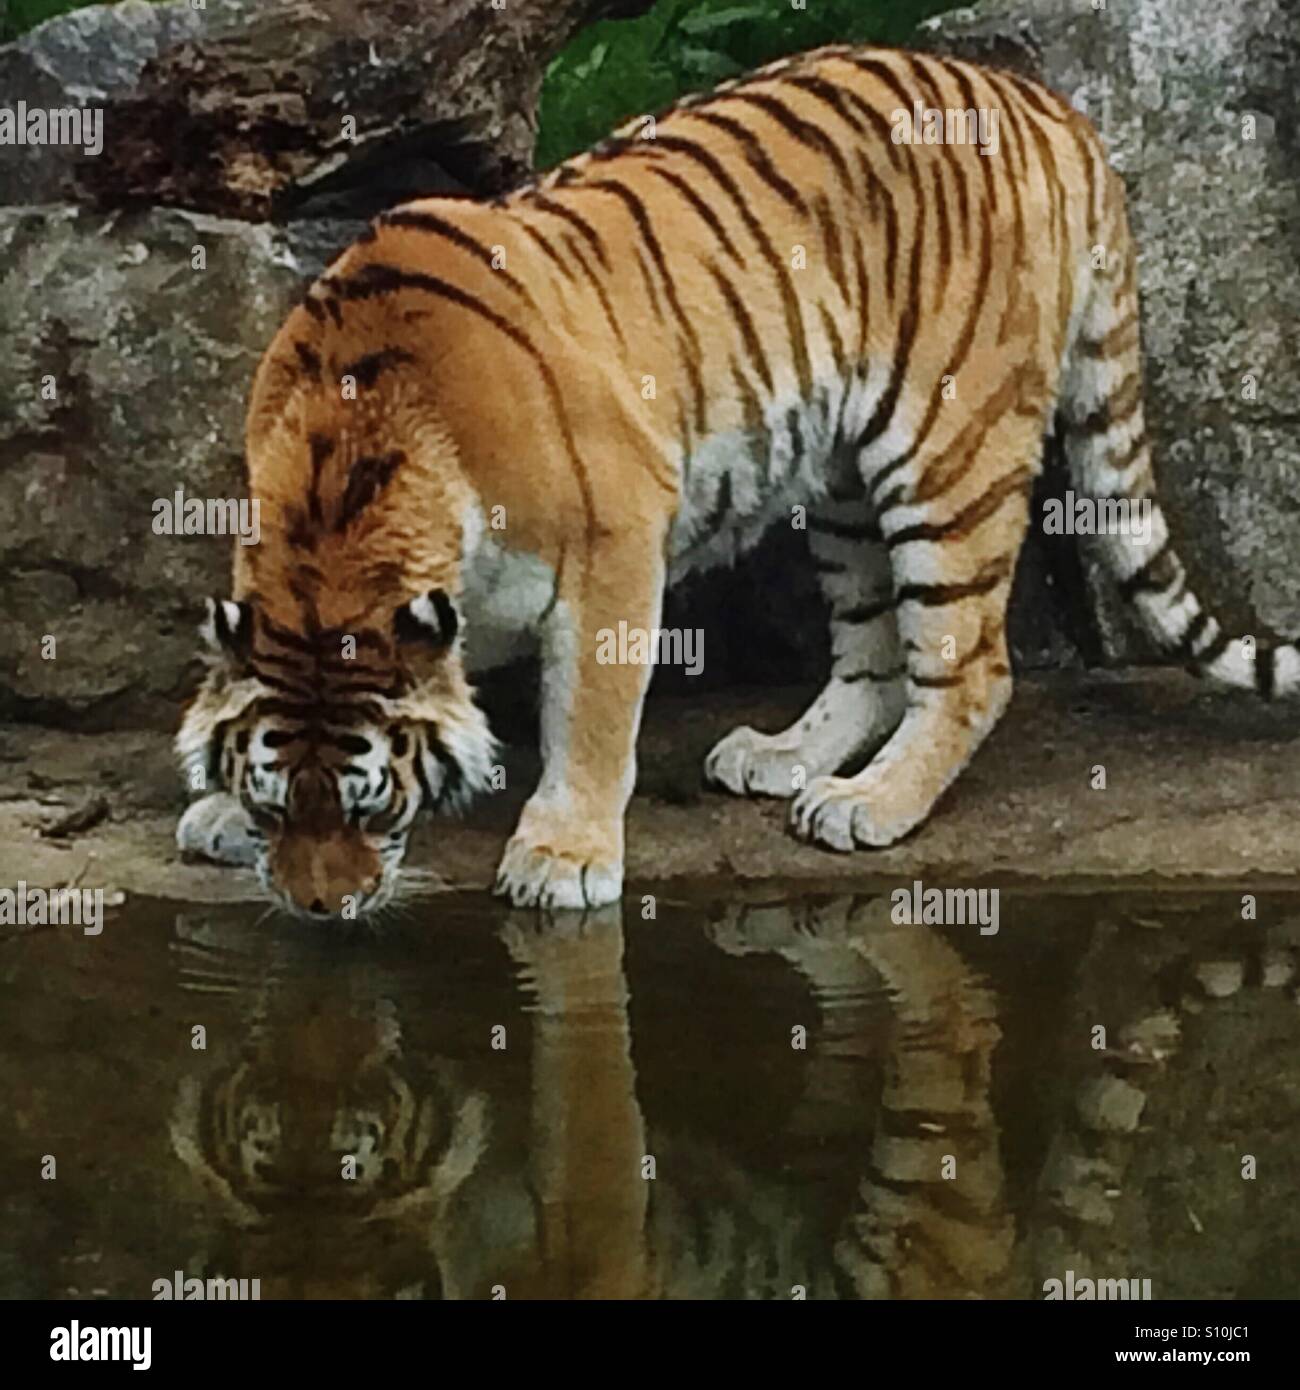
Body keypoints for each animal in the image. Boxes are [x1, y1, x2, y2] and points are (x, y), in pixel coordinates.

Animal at [176, 42, 1300, 919]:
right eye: (278, 801)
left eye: (369, 800)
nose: (319, 905)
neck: (345, 487)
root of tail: (1051, 106)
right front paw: (218, 811)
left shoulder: (618, 536)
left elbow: (590, 713)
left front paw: (564, 853)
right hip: (845, 475)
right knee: (874, 654)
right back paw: (788, 758)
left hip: (950, 452)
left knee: (970, 664)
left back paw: (869, 804)